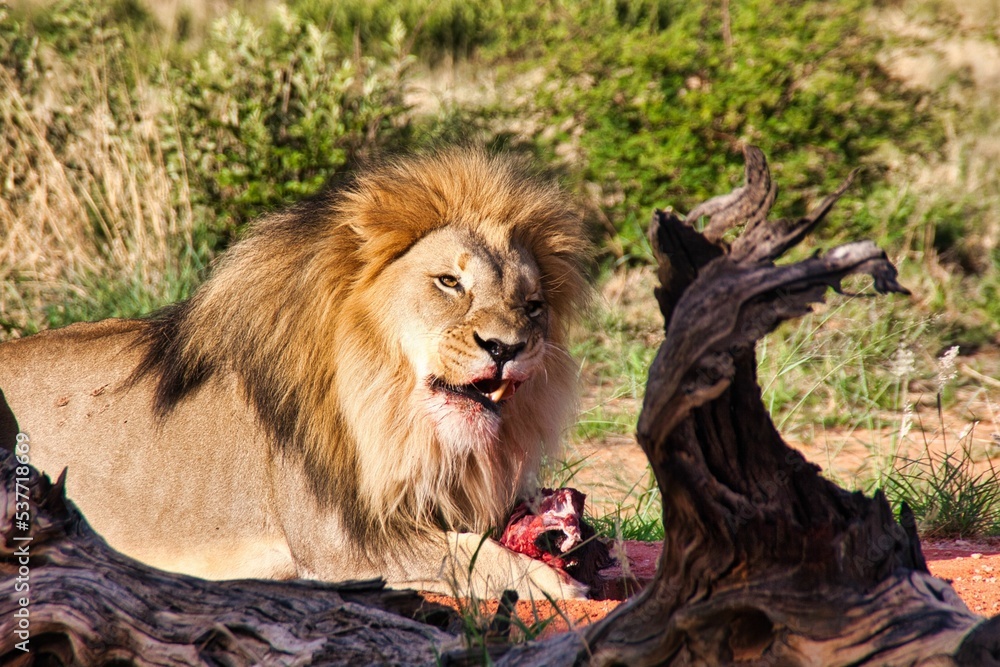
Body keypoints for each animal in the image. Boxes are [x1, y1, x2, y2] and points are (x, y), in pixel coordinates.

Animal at [0, 149, 592, 599]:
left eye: (532, 305)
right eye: (449, 282)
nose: (506, 347)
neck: (391, 413)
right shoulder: (339, 540)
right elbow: (472, 556)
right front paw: (556, 583)